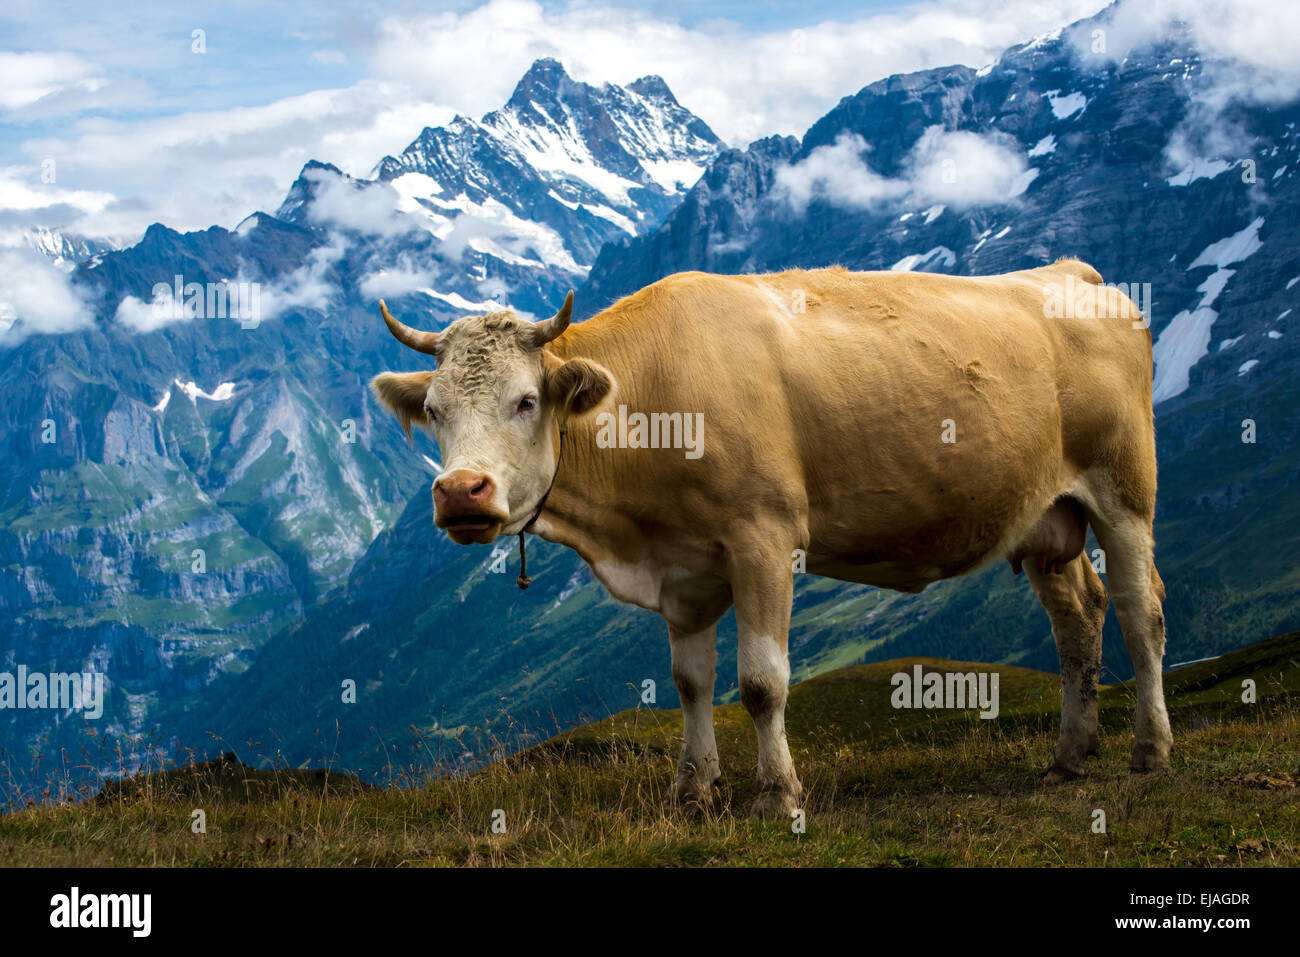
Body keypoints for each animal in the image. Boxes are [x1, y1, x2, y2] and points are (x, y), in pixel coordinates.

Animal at [371, 260, 1172, 818]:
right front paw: (691, 792)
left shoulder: (763, 537)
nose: (460, 492)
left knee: (1142, 611)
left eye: (527, 399)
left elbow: (761, 682)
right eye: (434, 410)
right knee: (1079, 618)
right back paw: (1070, 755)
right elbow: (691, 683)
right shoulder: (684, 572)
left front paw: (777, 795)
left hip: (1124, 488)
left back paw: (1150, 747)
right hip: (1047, 517)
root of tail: (1072, 274)